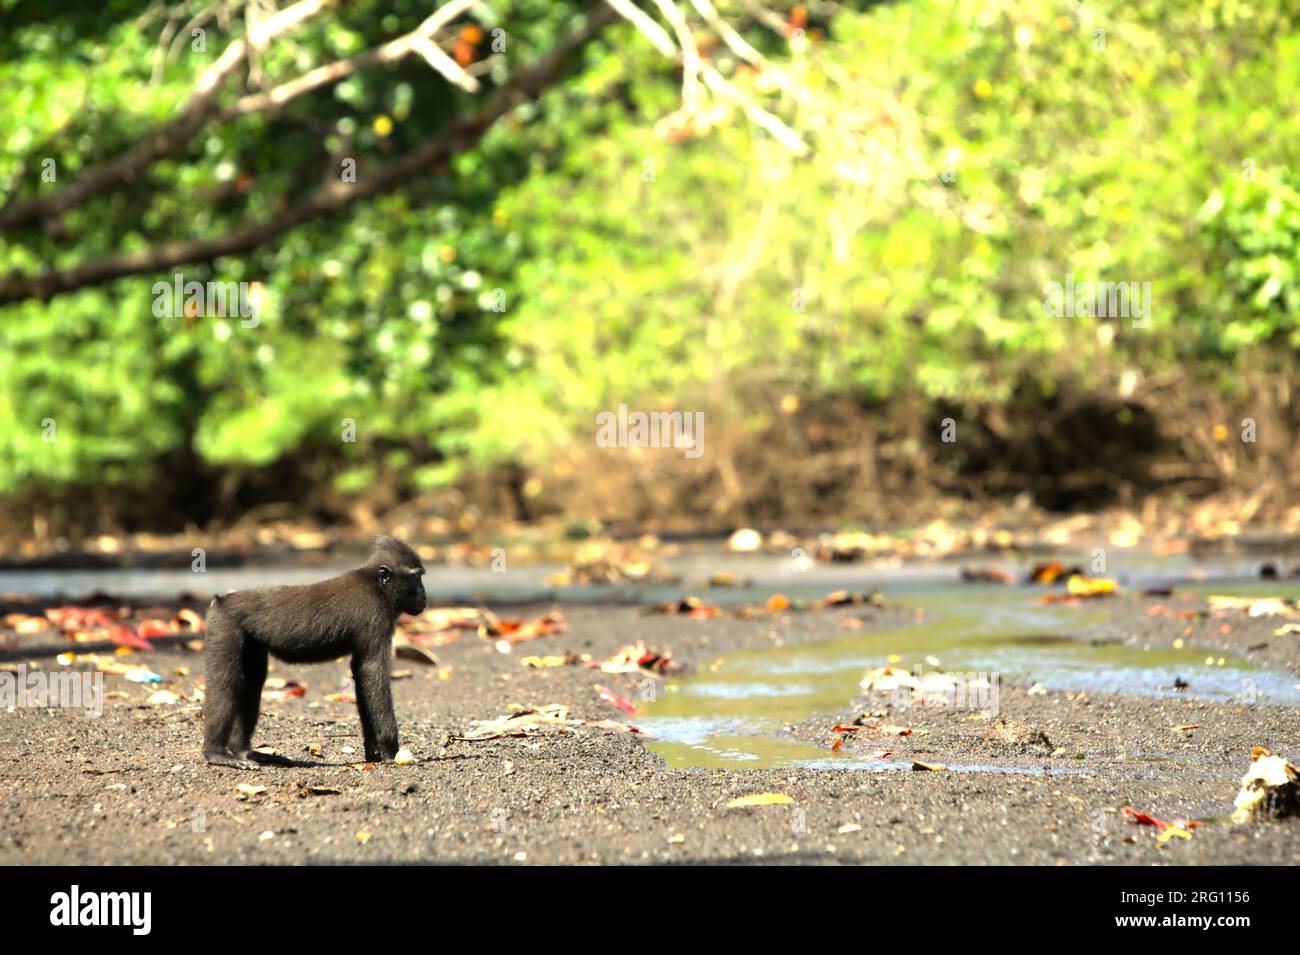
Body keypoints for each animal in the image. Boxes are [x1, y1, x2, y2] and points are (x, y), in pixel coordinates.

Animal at [202, 535, 426, 769]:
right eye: (416, 577)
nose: (424, 596)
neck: (377, 586)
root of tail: (221, 601)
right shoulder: (376, 616)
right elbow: (372, 672)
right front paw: (391, 750)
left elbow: (361, 673)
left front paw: (374, 751)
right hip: (224, 626)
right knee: (225, 683)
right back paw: (216, 753)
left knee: (253, 682)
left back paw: (242, 750)